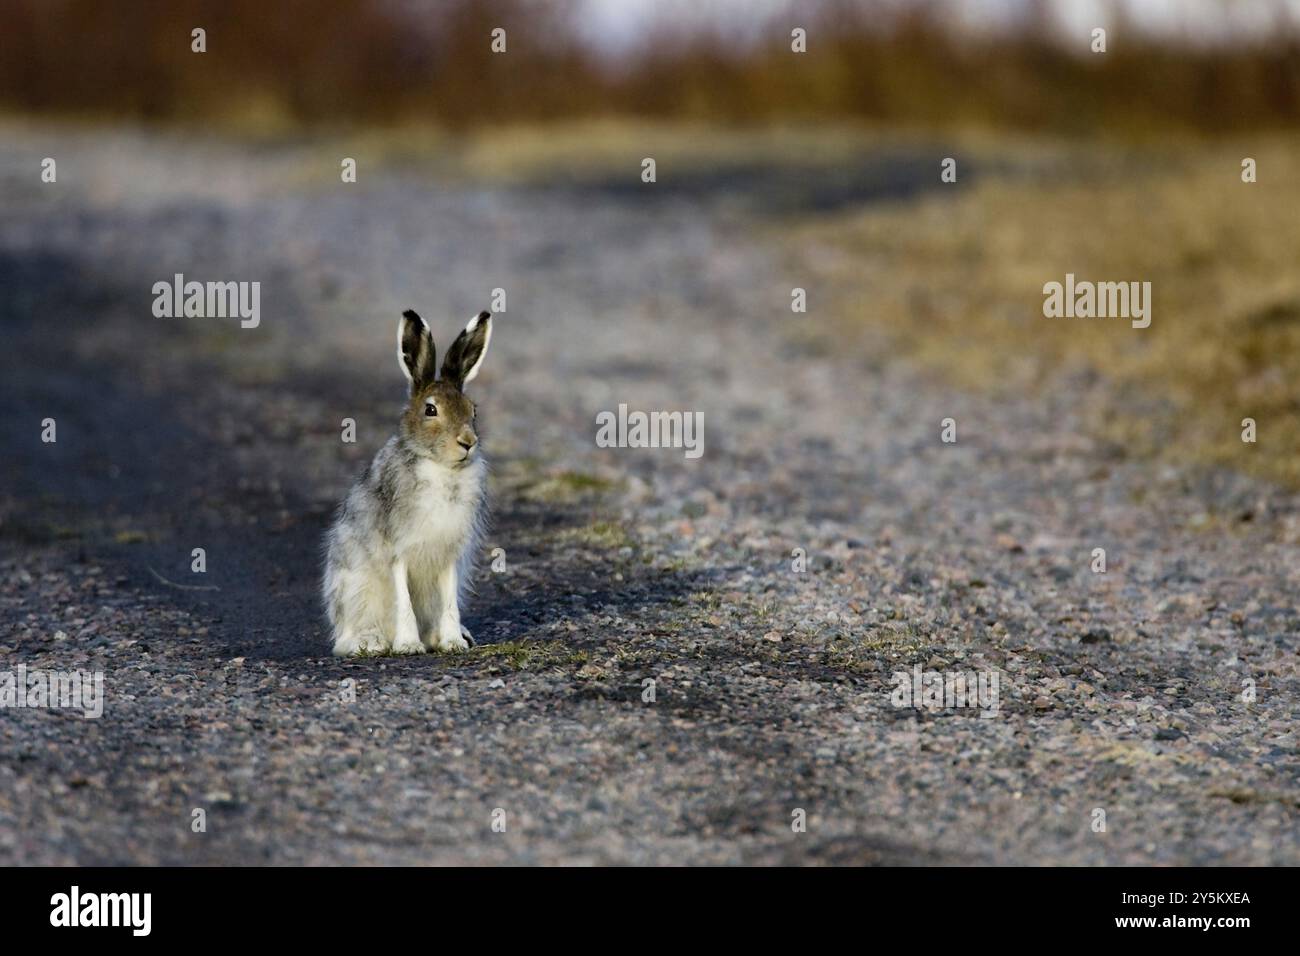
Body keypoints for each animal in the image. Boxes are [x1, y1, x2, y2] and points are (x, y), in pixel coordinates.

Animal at [322, 308, 493, 656]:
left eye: (473, 410)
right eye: (430, 410)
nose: (467, 442)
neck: (441, 467)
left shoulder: (450, 556)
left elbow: (450, 603)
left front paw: (453, 643)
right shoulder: (397, 551)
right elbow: (403, 602)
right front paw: (408, 647)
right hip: (355, 589)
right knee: (345, 639)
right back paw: (370, 643)